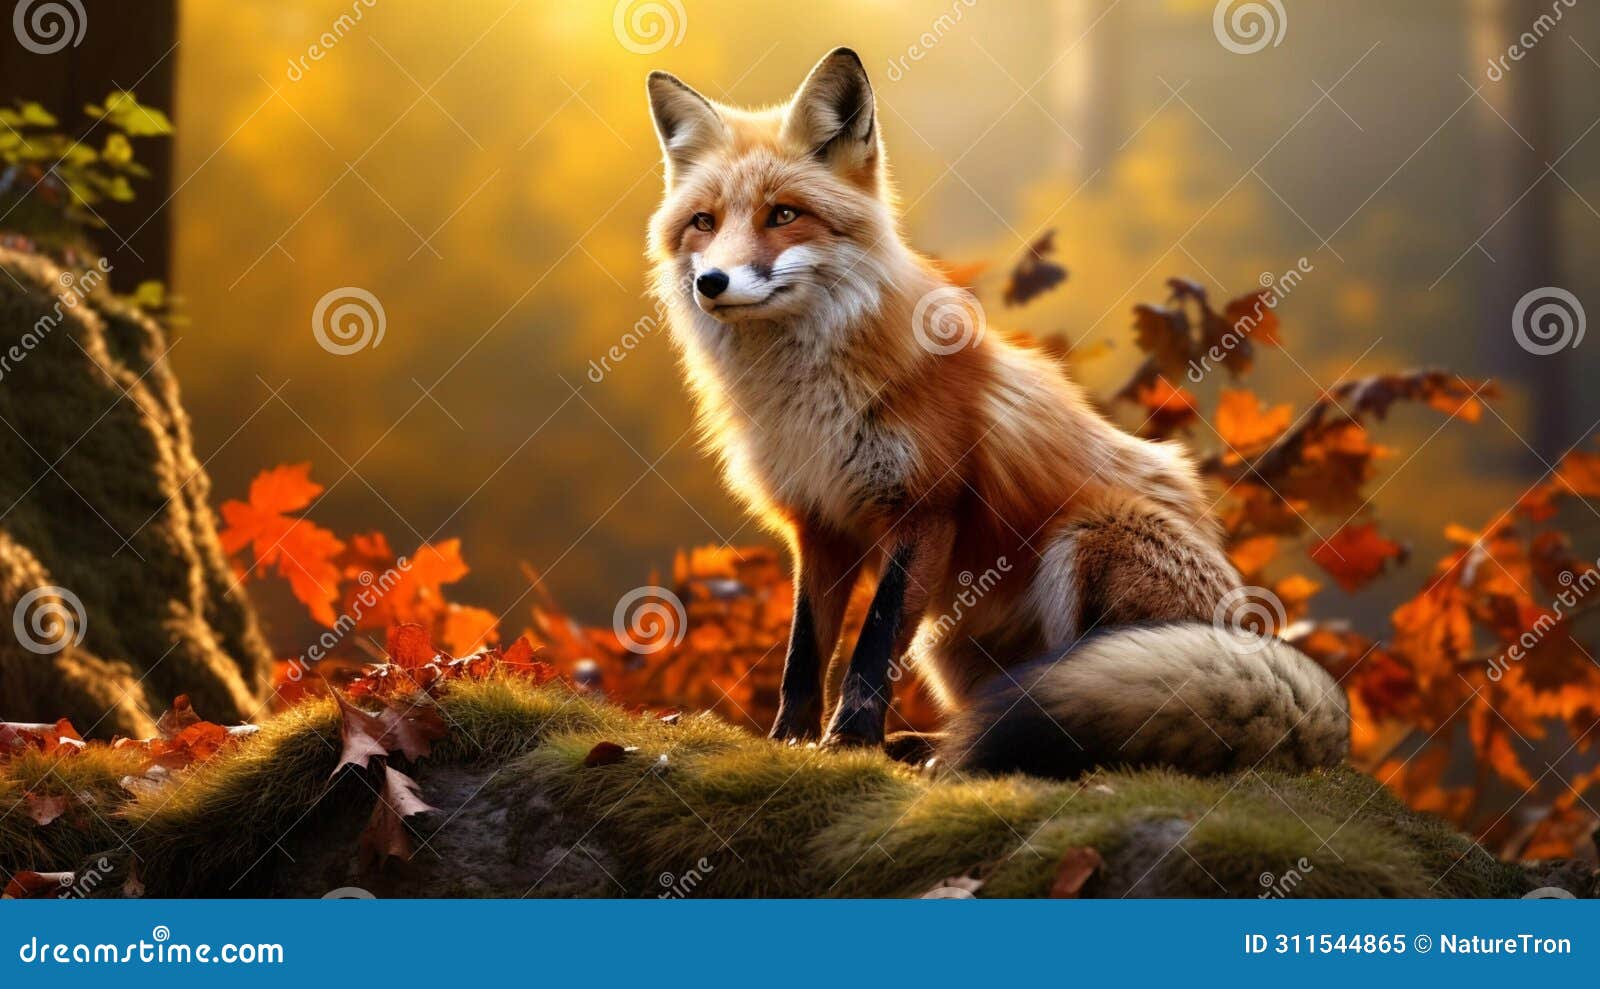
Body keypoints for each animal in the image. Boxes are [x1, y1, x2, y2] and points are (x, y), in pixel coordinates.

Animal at [643, 48, 1349, 778]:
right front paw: (790, 742)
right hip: (948, 640)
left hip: (1093, 538)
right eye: (704, 223)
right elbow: (804, 654)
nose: (711, 282)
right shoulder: (818, 523)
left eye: (783, 215)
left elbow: (871, 648)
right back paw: (935, 749)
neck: (806, 396)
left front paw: (848, 741)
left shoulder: (926, 507)